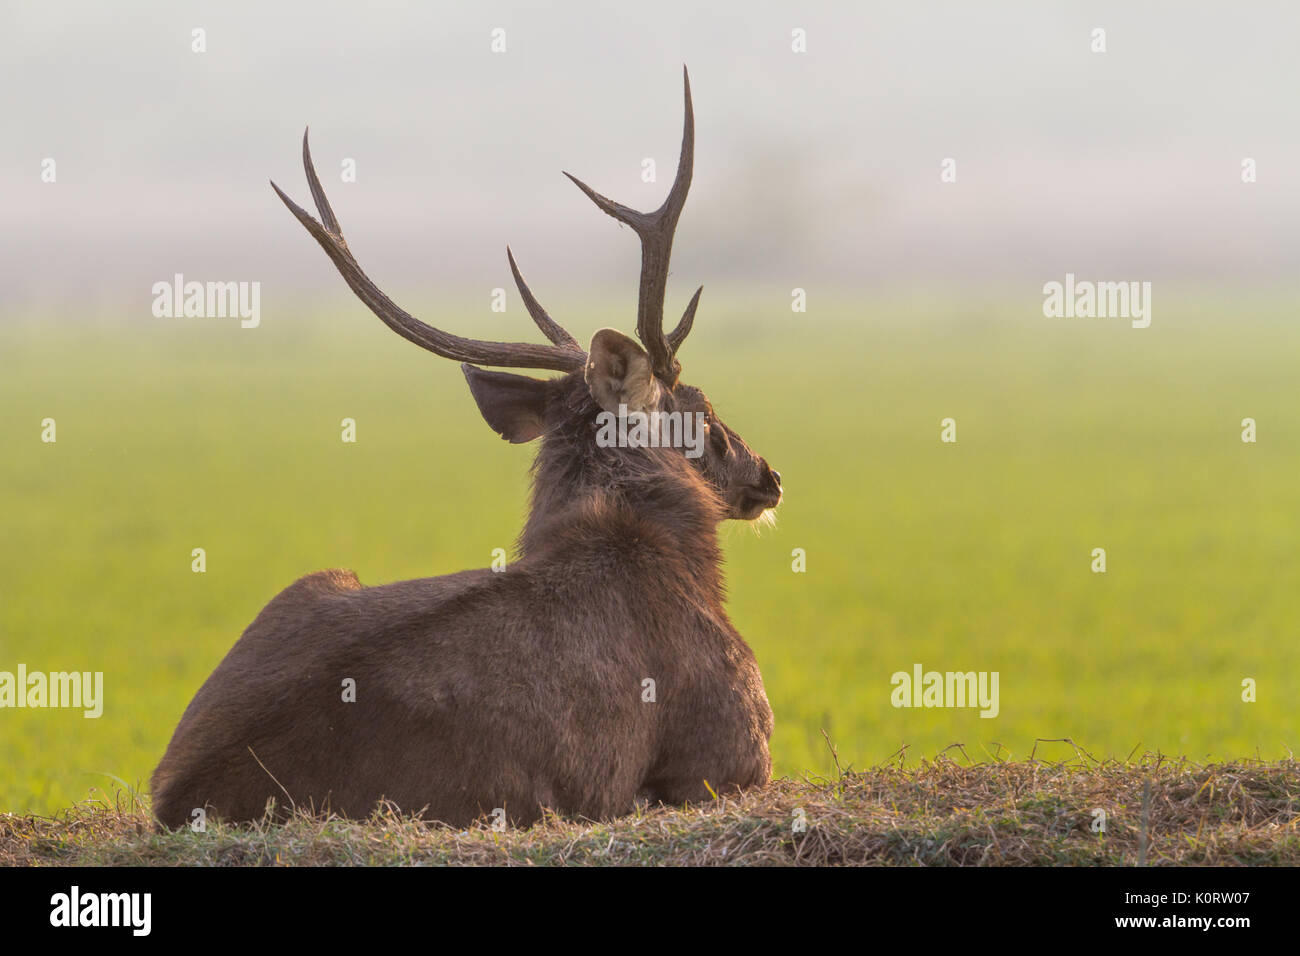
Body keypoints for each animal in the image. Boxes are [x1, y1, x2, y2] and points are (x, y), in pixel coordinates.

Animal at [150, 68, 783, 830]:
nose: (768, 475)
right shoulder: (733, 750)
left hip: (313, 581)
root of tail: (183, 796)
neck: (674, 554)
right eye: (702, 409)